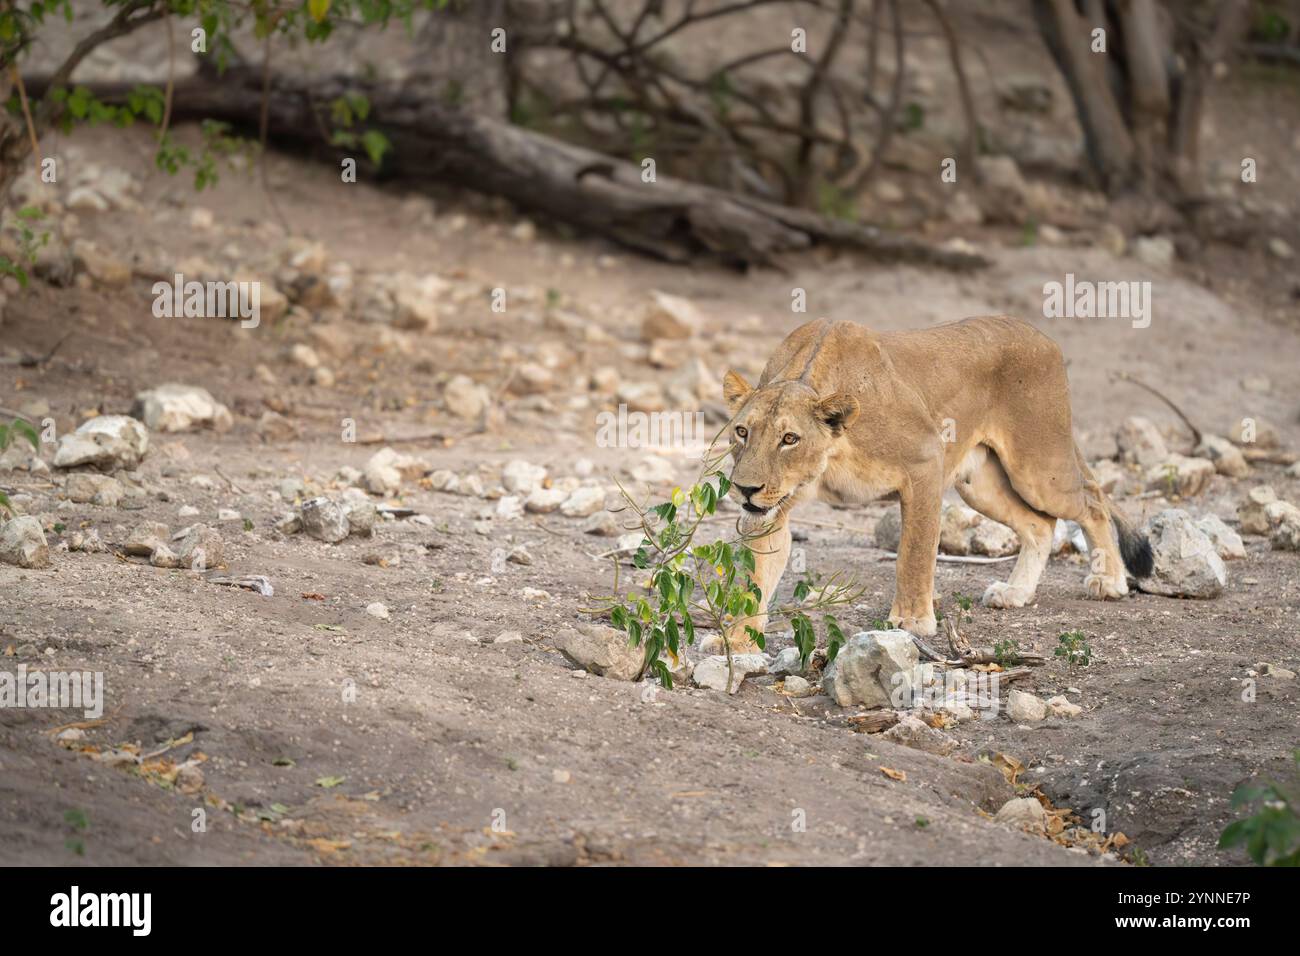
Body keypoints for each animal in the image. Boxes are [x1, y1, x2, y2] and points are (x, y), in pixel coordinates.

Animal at [721, 316, 1153, 645]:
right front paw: (739, 641)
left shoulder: (926, 460)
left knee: (1091, 501)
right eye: (742, 432)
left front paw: (912, 621)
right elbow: (755, 577)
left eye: (789, 439)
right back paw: (1016, 592)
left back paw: (1109, 580)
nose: (745, 489)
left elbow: (914, 553)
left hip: (1039, 468)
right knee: (1040, 524)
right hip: (980, 485)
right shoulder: (770, 508)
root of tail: (1042, 336)